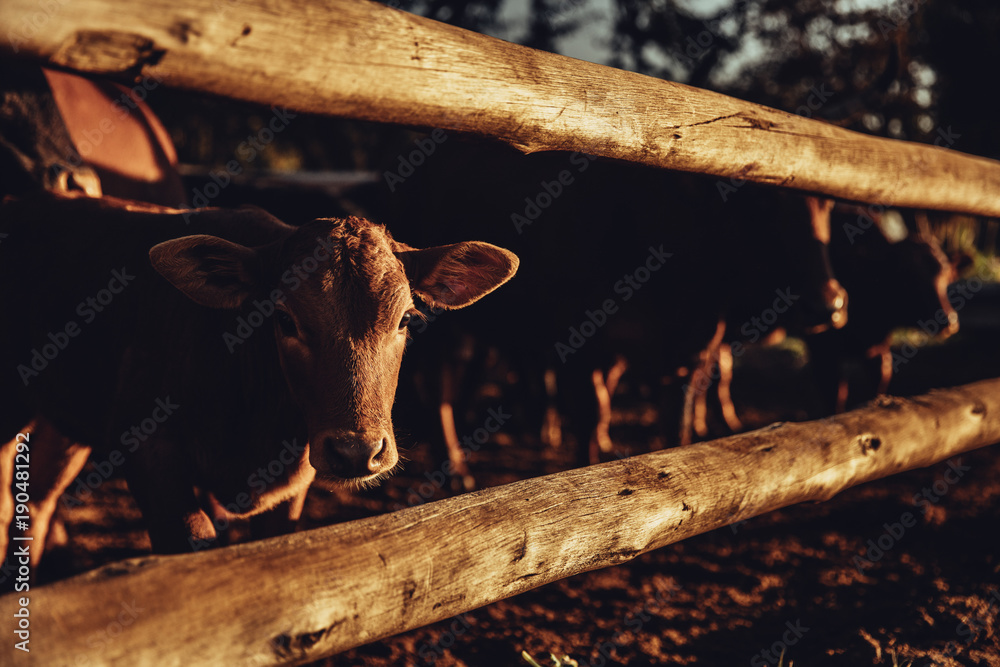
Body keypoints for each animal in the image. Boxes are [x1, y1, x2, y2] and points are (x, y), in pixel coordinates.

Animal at [0, 191, 518, 569]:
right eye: (284, 319)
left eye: (407, 319)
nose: (357, 451)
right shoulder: (146, 451)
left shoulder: (290, 490)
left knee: (38, 503)